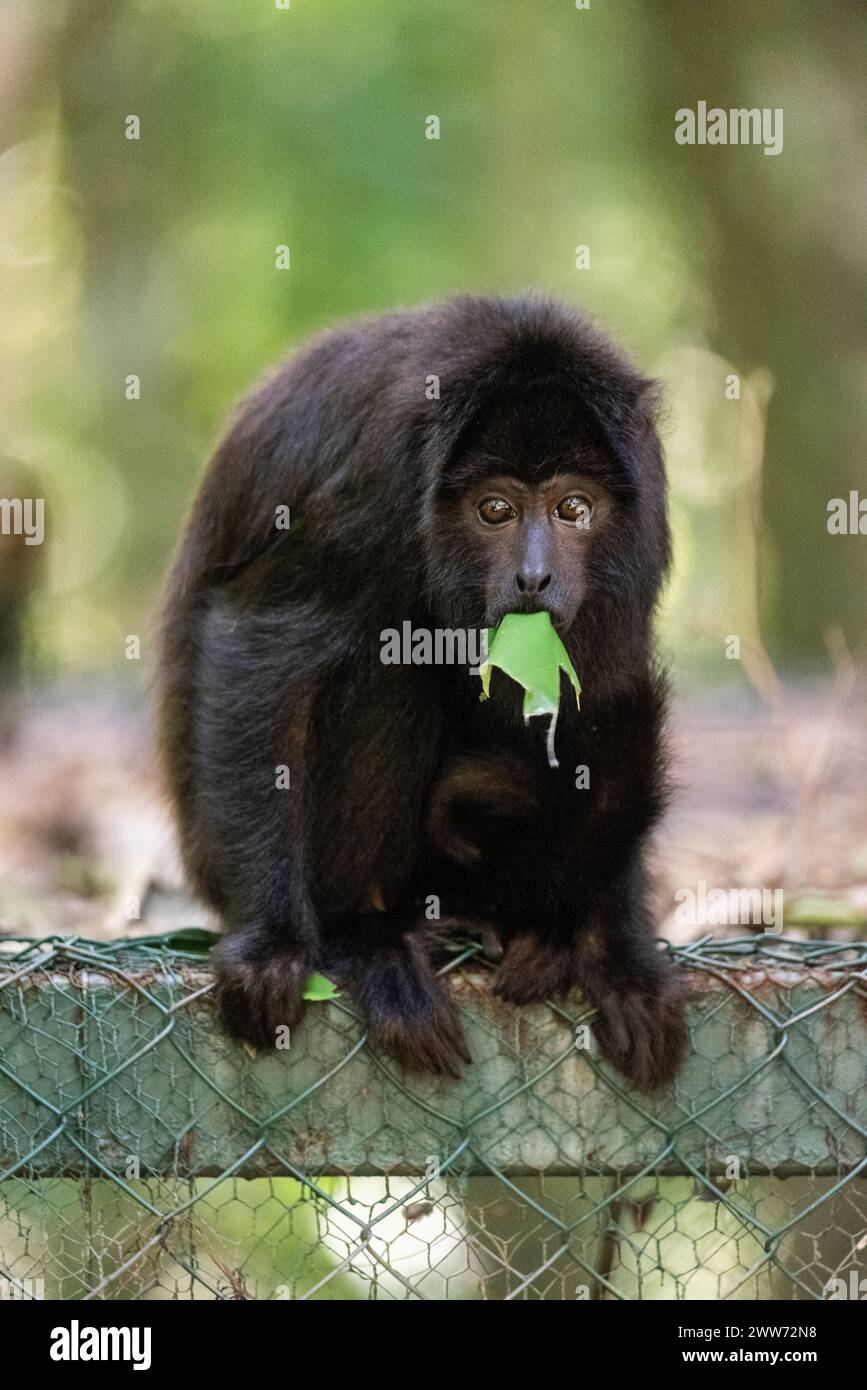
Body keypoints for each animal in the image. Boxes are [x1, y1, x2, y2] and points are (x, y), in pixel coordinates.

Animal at [158, 294, 685, 1089]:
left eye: (574, 508)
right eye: (495, 510)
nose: (534, 577)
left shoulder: (644, 505)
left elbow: (609, 691)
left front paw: (617, 953)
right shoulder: (375, 482)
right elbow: (263, 648)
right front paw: (269, 943)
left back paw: (533, 931)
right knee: (384, 662)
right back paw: (369, 933)